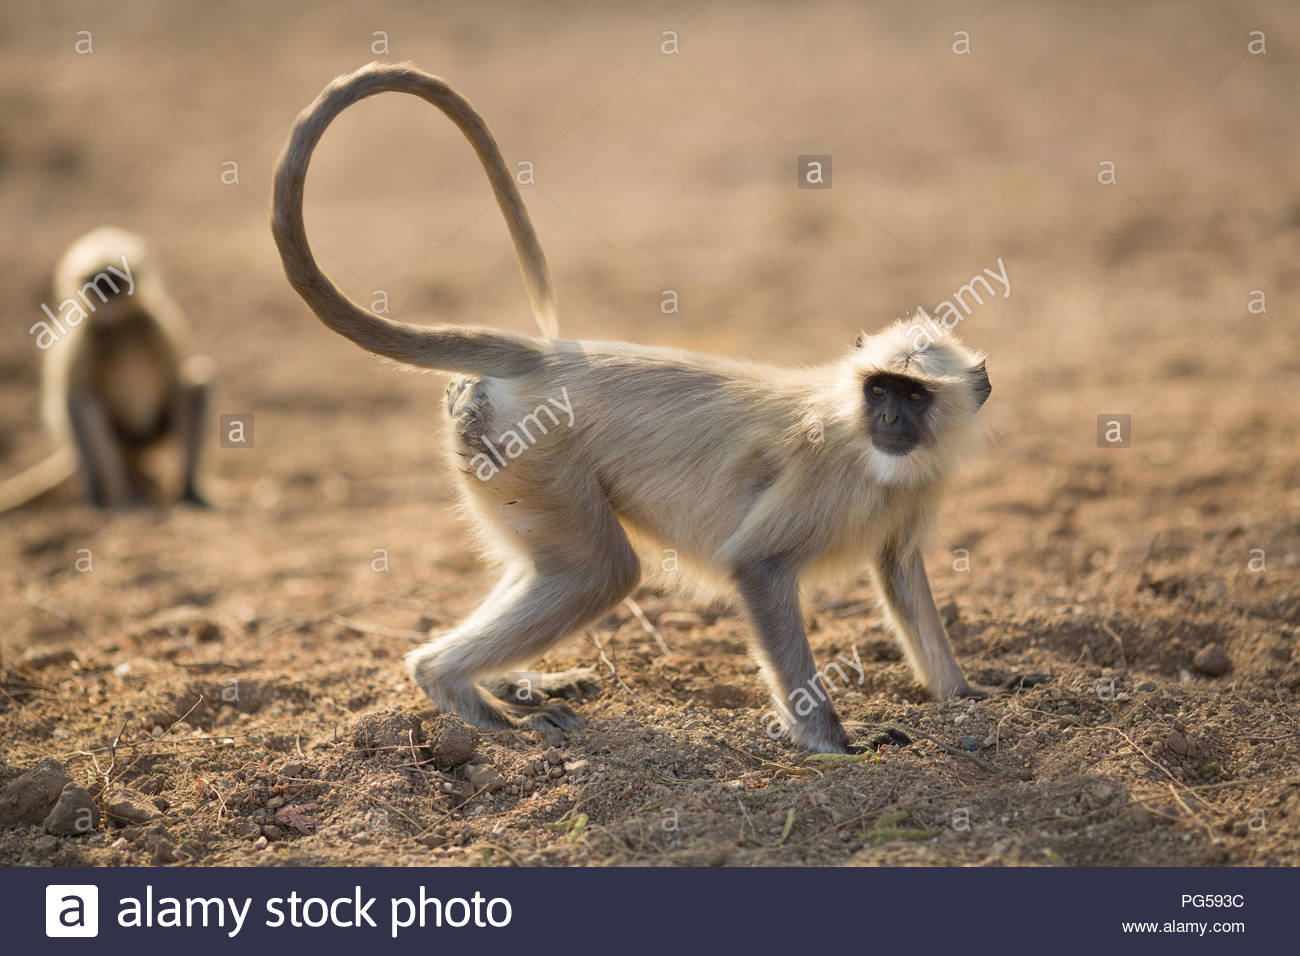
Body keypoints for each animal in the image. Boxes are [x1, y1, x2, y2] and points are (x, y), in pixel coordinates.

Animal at [0, 227, 214, 511]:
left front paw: (187, 490)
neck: (118, 326)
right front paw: (97, 493)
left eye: (113, 282)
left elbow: (176, 385)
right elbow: (75, 399)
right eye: (95, 283)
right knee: (89, 408)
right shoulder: (82, 336)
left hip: (150, 436)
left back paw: (188, 490)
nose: (105, 297)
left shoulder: (155, 322)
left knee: (199, 384)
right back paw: (119, 496)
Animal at [271, 63, 993, 753]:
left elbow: (901, 573)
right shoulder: (828, 474)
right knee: (601, 572)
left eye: (913, 395)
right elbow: (758, 568)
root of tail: (547, 355)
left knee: (548, 564)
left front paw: (965, 697)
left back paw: (502, 682)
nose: (890, 420)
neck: (862, 436)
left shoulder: (919, 486)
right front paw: (831, 743)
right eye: (880, 390)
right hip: (536, 451)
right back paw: (454, 686)